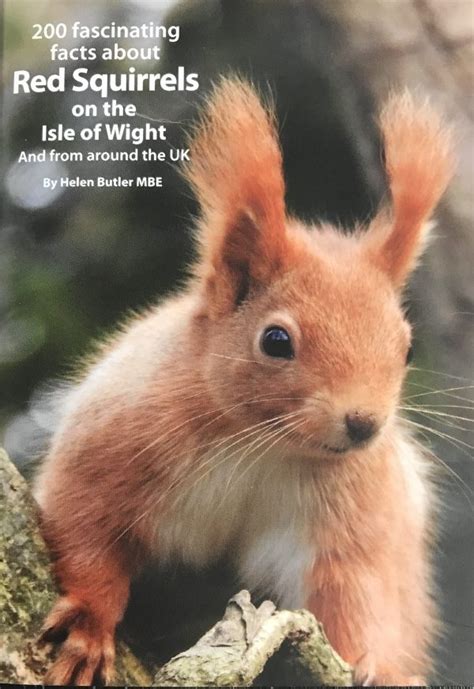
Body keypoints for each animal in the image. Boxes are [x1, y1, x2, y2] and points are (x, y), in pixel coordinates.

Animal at [34, 78, 454, 685]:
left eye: (408, 347)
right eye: (276, 341)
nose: (363, 424)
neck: (264, 446)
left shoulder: (355, 520)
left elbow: (358, 592)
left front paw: (377, 665)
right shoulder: (116, 443)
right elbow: (86, 526)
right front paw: (90, 623)